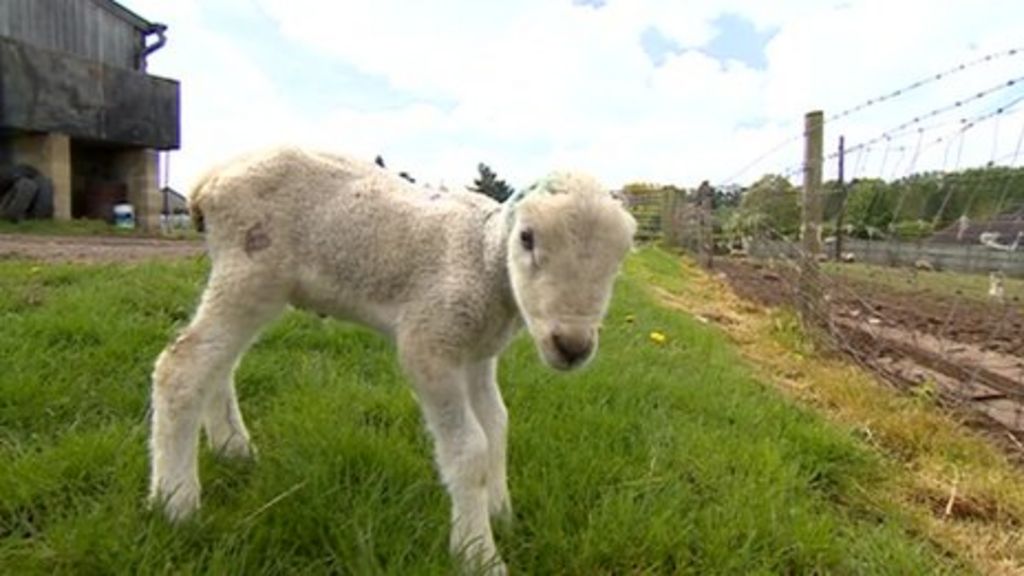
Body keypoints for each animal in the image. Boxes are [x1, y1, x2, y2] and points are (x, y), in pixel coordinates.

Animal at [148, 147, 637, 574]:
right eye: (527, 238)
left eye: (622, 257)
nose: (571, 345)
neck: (484, 260)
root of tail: (212, 179)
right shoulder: (430, 342)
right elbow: (470, 448)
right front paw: (478, 553)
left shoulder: (478, 354)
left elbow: (498, 425)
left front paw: (500, 511)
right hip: (251, 269)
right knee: (183, 367)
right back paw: (176, 504)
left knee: (218, 366)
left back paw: (232, 448)